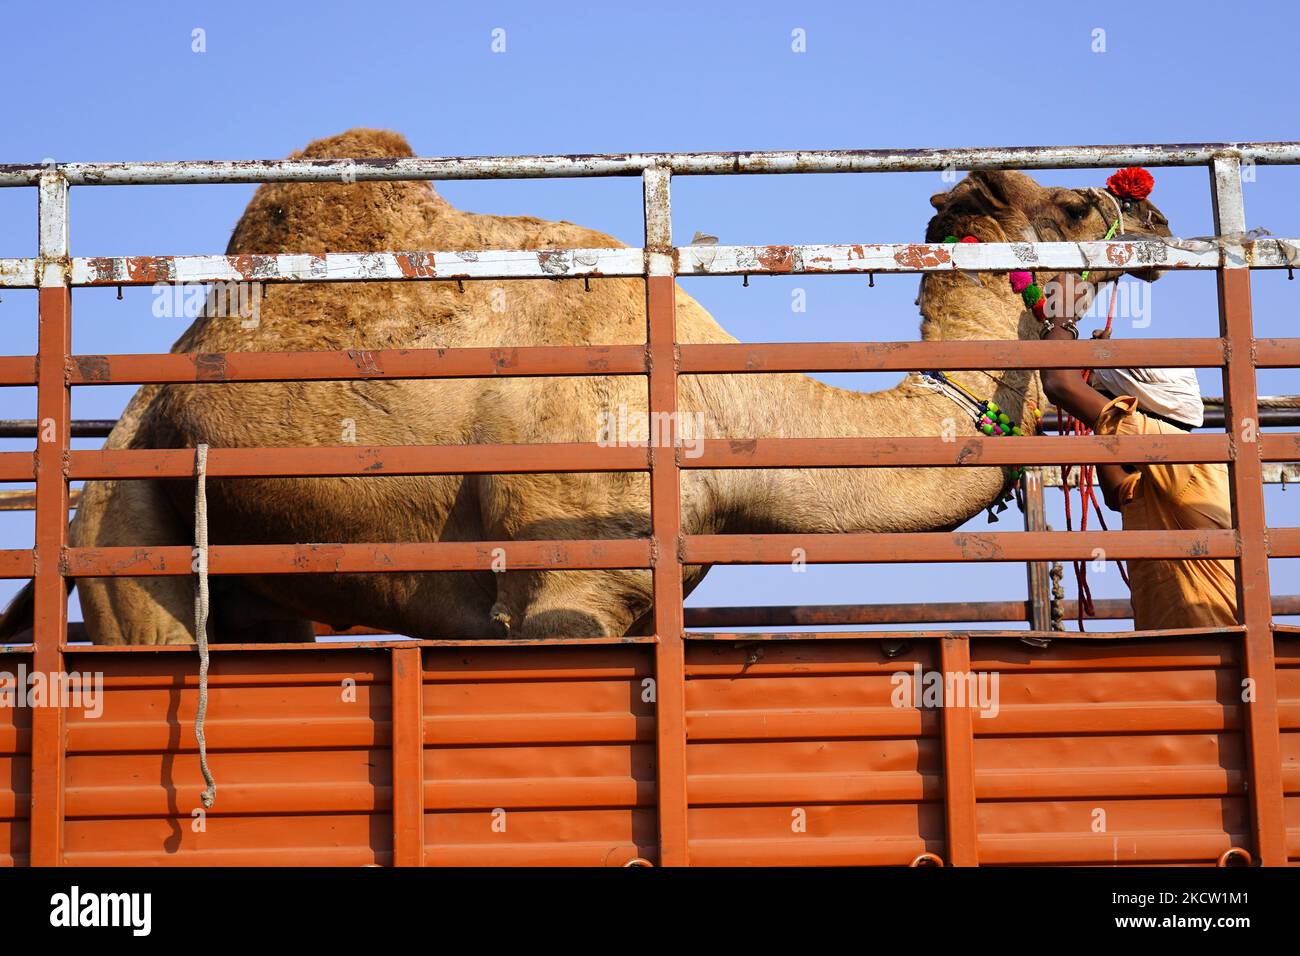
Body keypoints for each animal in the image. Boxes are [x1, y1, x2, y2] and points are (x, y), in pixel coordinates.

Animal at [0, 129, 1172, 644]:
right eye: (1077, 204)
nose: (1154, 212)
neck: (715, 418)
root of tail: (127, 421)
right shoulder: (568, 589)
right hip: (125, 537)